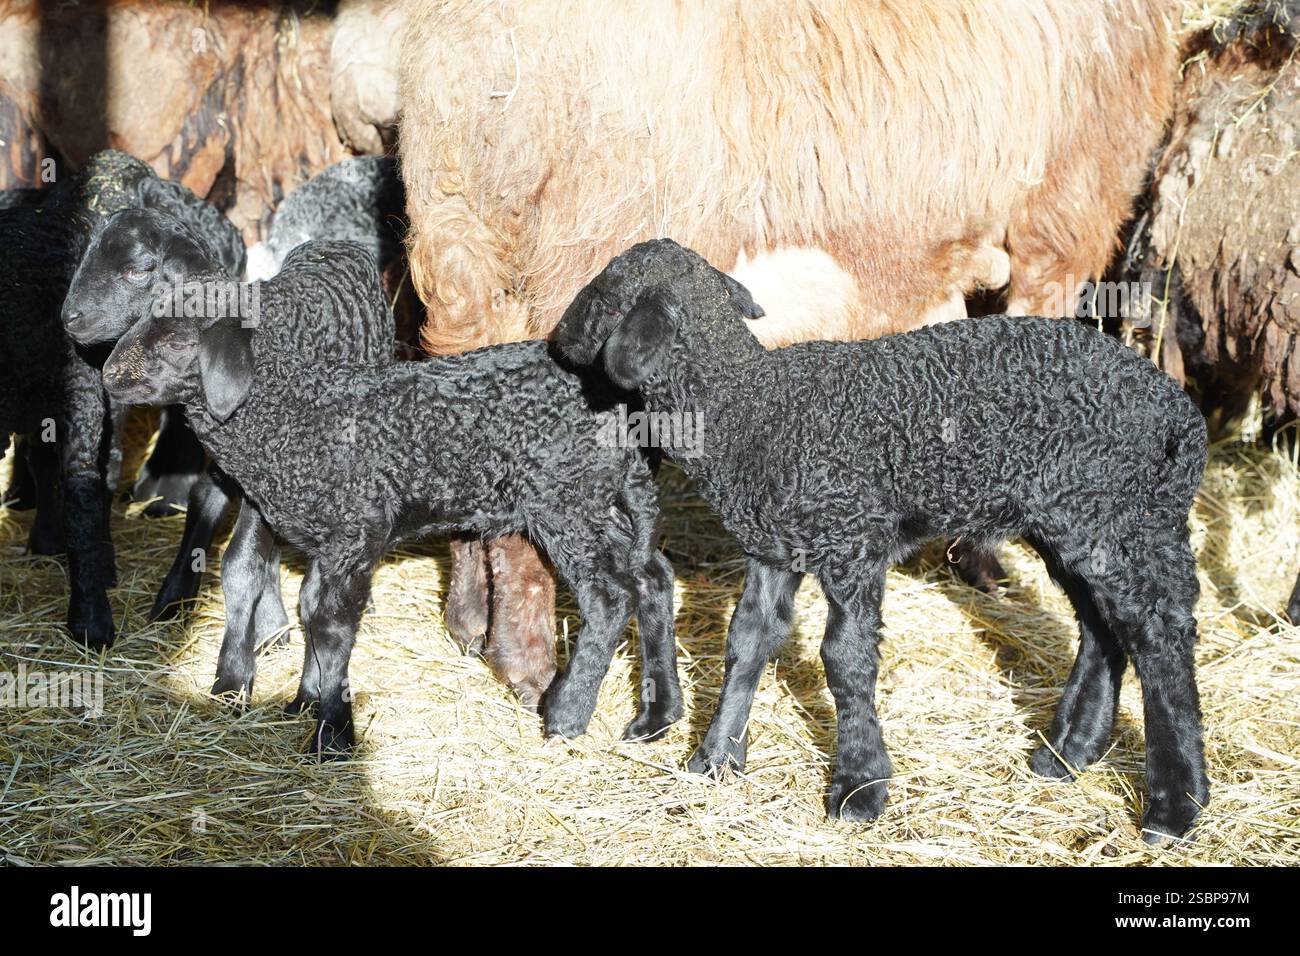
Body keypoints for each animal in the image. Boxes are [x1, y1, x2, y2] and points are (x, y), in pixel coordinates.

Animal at [91, 221, 680, 754]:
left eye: (175, 340)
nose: (110, 375)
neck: (292, 413)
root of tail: (613, 399)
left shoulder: (357, 532)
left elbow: (332, 627)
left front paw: (333, 734)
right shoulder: (329, 543)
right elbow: (310, 610)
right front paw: (307, 702)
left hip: (565, 501)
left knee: (608, 596)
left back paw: (567, 715)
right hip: (605, 499)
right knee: (652, 577)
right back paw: (658, 717)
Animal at [555, 240, 1210, 844]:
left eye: (601, 295)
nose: (556, 342)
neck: (748, 408)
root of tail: (1180, 415)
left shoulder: (853, 542)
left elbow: (844, 658)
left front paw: (859, 788)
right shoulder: (774, 548)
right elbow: (747, 641)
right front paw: (714, 759)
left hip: (1116, 514)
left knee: (1158, 632)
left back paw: (1173, 809)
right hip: (1076, 520)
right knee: (1104, 628)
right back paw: (1067, 755)